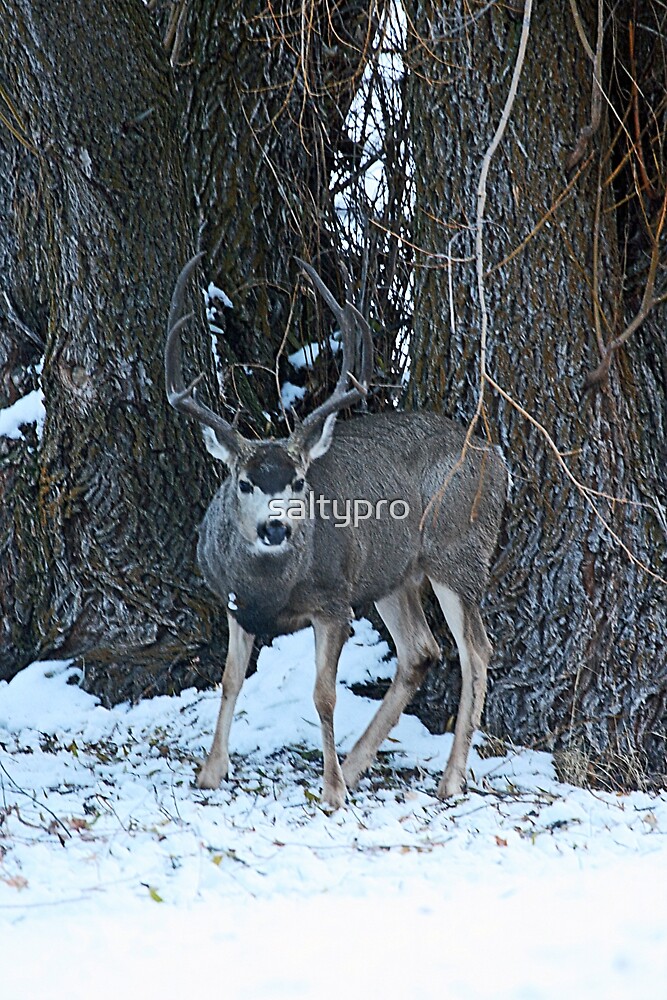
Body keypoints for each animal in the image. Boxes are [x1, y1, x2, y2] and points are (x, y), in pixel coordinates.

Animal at [165, 253, 507, 809]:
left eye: (299, 481)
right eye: (243, 482)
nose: (276, 527)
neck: (273, 589)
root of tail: (495, 459)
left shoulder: (333, 602)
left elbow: (323, 693)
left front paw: (331, 791)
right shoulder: (235, 602)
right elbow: (230, 679)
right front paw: (210, 771)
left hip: (457, 553)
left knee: (475, 650)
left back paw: (447, 778)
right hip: (391, 573)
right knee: (421, 650)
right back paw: (356, 762)